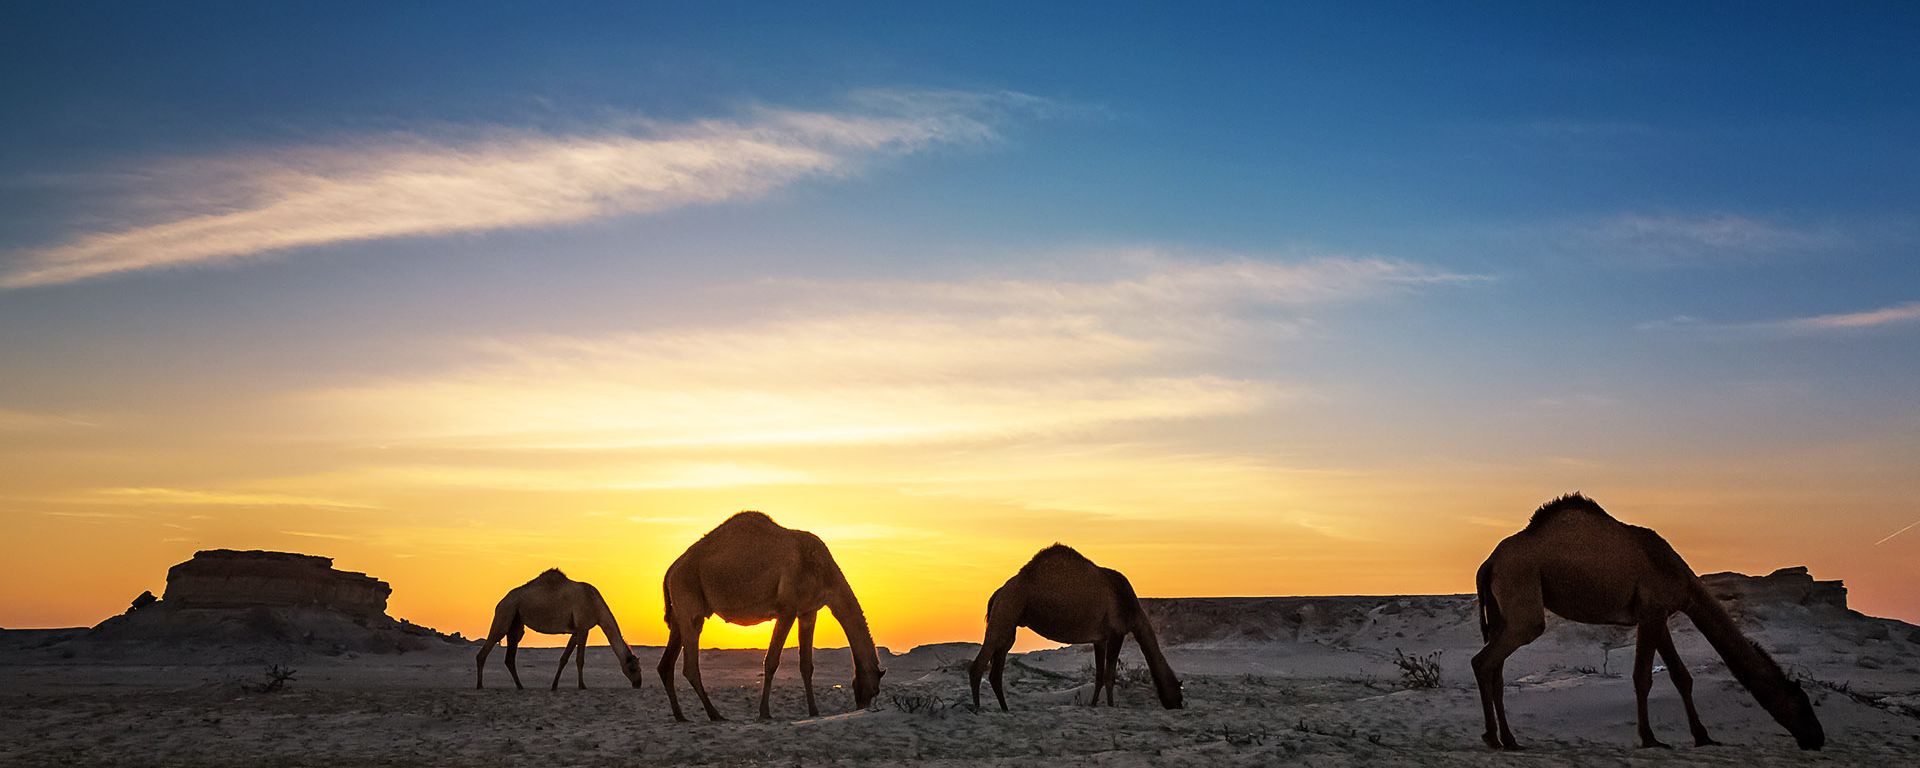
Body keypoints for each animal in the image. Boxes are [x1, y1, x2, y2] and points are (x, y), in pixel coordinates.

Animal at [475, 569, 645, 690]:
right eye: (633, 668)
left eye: (639, 668)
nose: (638, 684)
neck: (596, 605)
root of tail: (500, 602)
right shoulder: (583, 627)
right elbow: (580, 659)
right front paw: (582, 686)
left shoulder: (576, 631)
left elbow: (564, 658)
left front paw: (554, 685)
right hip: (505, 614)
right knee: (485, 650)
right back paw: (480, 685)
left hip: (516, 623)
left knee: (509, 657)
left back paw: (520, 686)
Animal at [658, 511, 885, 721]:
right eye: (875, 689)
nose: (864, 707)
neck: (823, 570)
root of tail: (671, 570)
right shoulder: (787, 609)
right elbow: (772, 661)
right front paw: (764, 713)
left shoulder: (808, 611)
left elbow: (806, 665)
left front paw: (814, 711)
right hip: (689, 600)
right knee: (690, 666)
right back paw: (716, 715)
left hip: (680, 614)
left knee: (666, 664)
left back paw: (680, 716)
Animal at [969, 544, 1183, 711]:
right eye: (1179, 692)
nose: (1179, 705)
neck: (1133, 610)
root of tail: (998, 592)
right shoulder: (1117, 632)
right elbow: (1110, 676)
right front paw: (1111, 706)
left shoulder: (1100, 638)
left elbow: (1099, 676)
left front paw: (1094, 705)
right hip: (1005, 612)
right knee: (979, 664)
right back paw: (978, 708)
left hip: (1008, 624)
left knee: (996, 669)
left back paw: (1005, 709)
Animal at [1473, 493, 1823, 751]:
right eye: (1802, 703)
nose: (1817, 738)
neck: (1682, 578)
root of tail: (1488, 562)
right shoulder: (1651, 611)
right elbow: (1642, 677)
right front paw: (1651, 739)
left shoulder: (1658, 615)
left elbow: (1682, 677)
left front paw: (1703, 736)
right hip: (1523, 594)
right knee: (1485, 660)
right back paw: (1493, 738)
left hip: (1502, 610)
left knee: (1496, 669)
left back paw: (1509, 739)